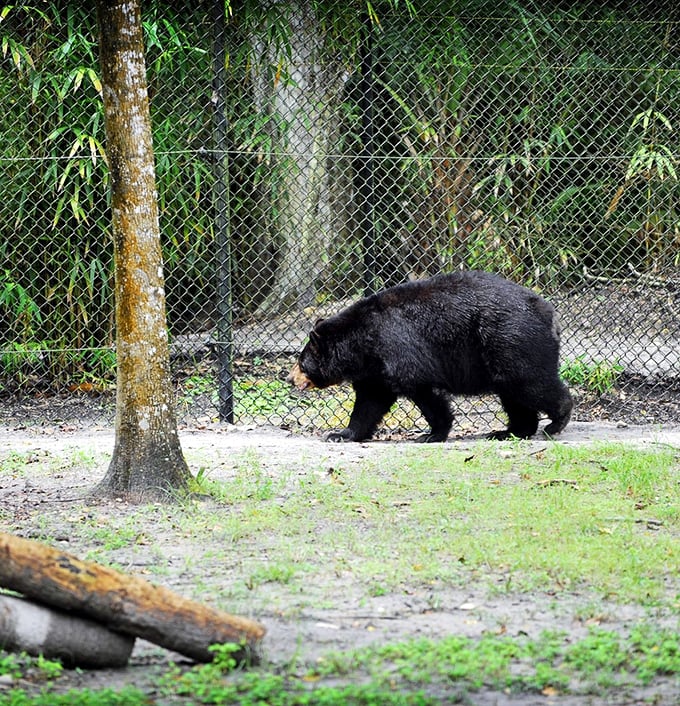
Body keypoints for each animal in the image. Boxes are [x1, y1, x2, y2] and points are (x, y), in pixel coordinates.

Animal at [287, 271, 573, 442]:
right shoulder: (374, 369)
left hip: (511, 338)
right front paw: (341, 434)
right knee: (513, 391)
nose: (289, 378)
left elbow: (421, 386)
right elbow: (370, 401)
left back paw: (556, 422)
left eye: (301, 362)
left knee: (528, 381)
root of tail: (550, 313)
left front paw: (432, 434)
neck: (362, 342)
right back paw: (510, 431)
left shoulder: (397, 345)